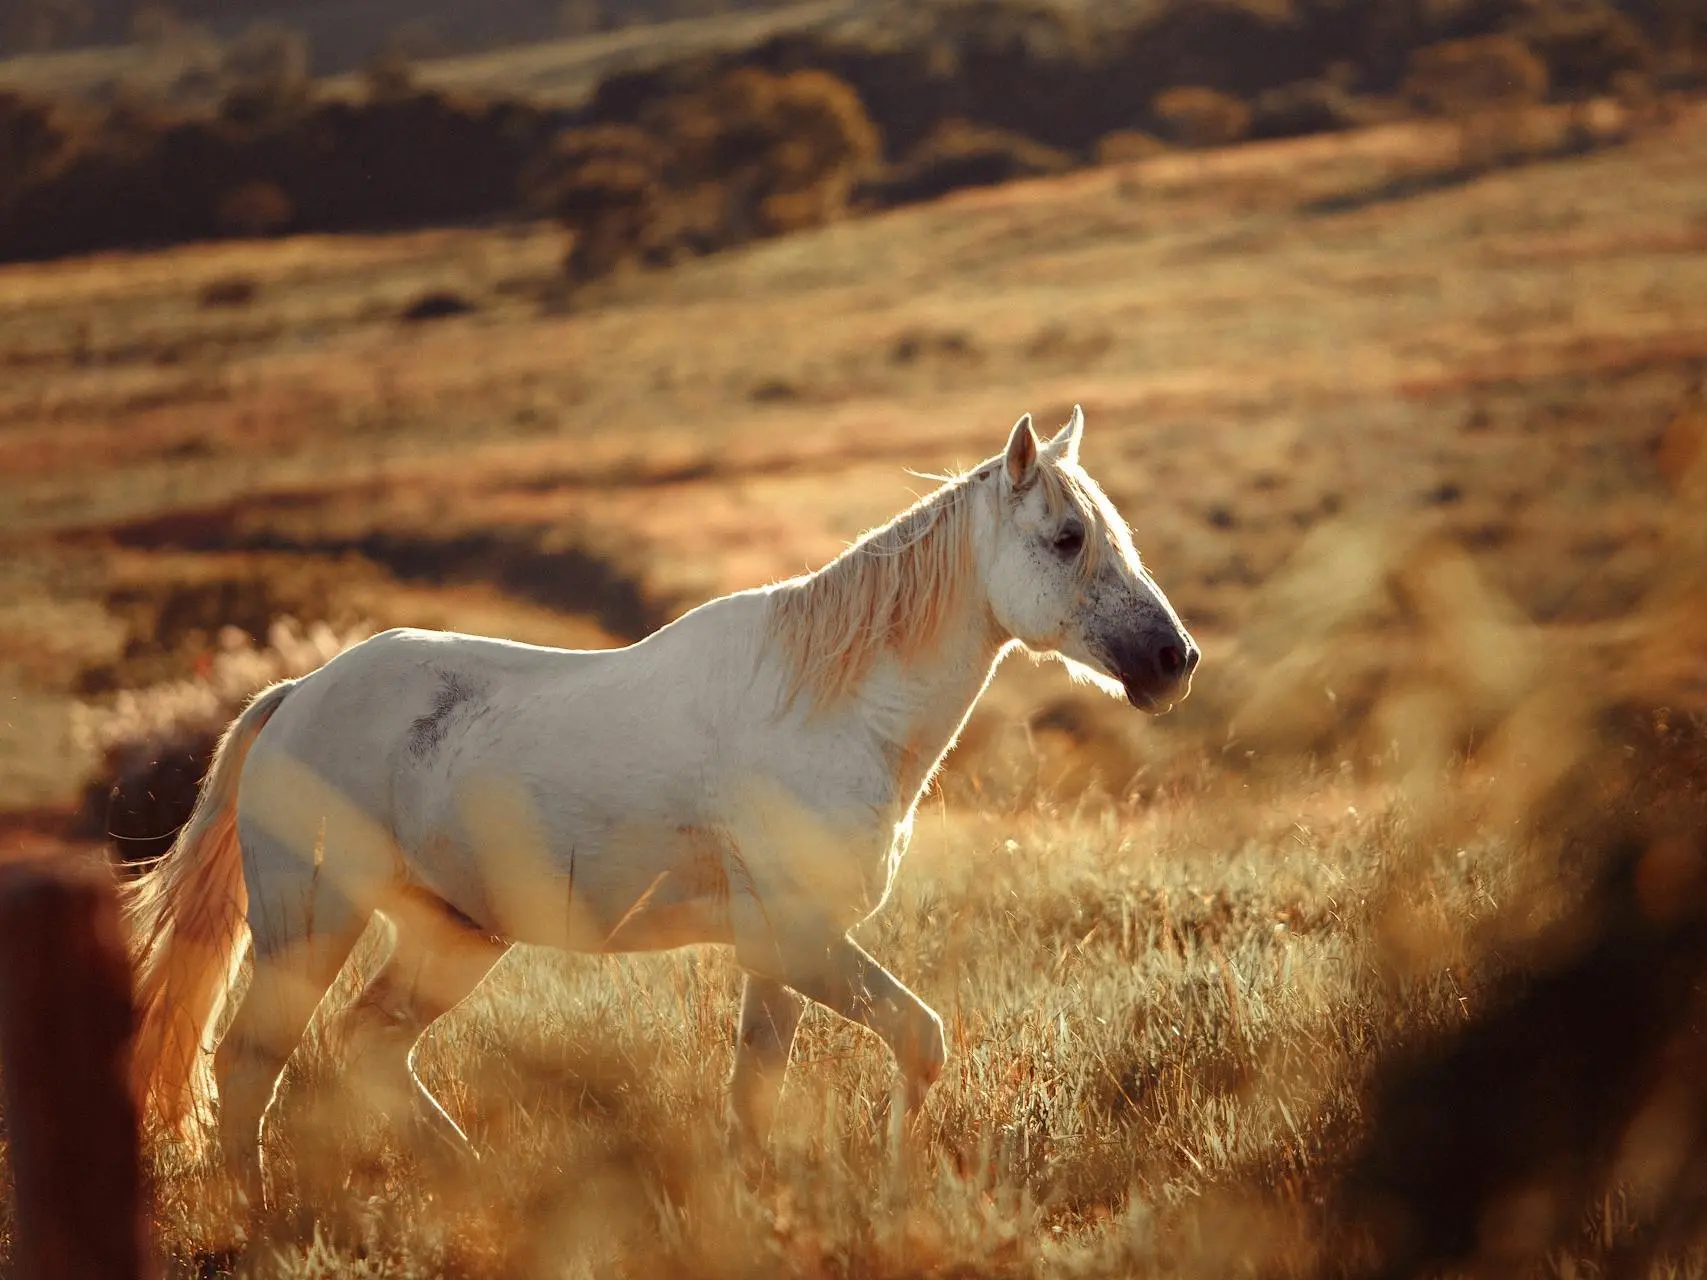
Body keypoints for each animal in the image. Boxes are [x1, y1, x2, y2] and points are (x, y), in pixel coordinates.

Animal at [119, 405, 1199, 1202]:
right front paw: (897, 1185)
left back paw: (483, 1187)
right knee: (251, 1067)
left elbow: (756, 1093)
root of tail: (297, 696)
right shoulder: (799, 940)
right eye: (1066, 537)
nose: (1172, 661)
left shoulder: (779, 955)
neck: (830, 707)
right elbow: (920, 1039)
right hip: (310, 923)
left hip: (452, 936)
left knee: (367, 1050)